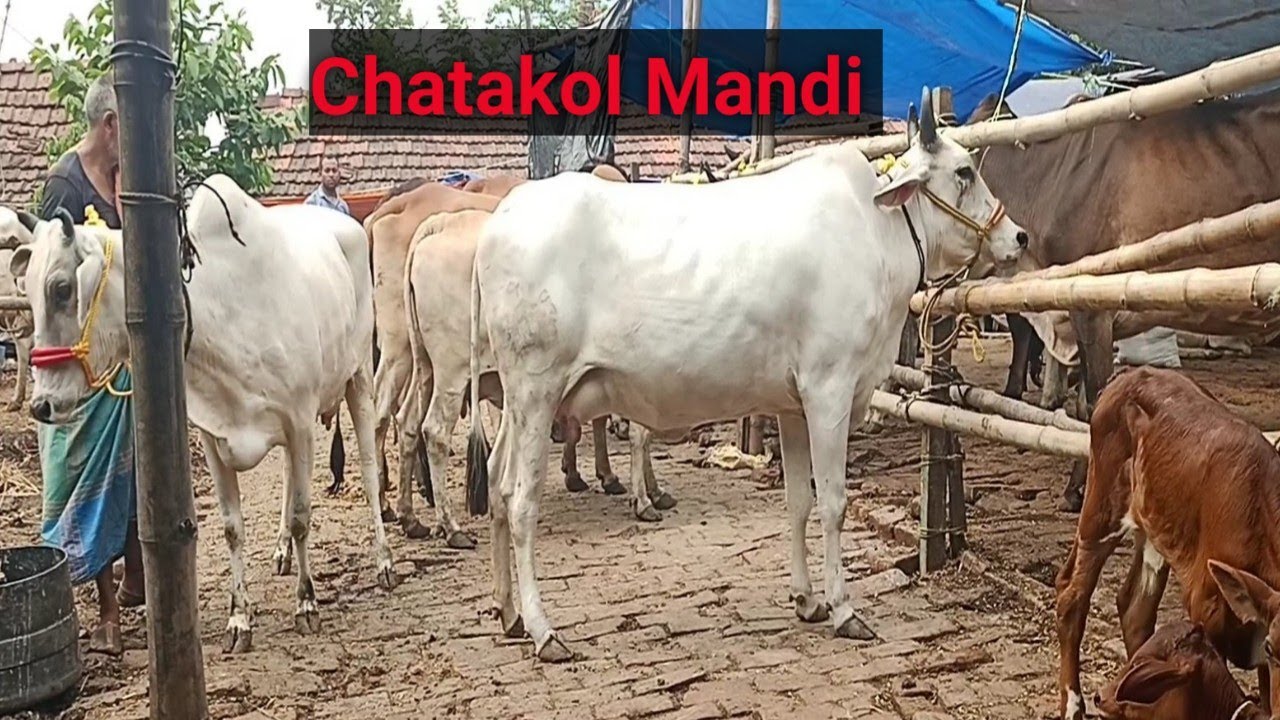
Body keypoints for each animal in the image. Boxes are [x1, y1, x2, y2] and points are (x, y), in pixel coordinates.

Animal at [10, 176, 396, 653]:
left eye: (62, 289)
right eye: (27, 293)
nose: (40, 404)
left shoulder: (300, 421)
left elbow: (303, 516)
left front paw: (306, 603)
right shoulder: (215, 436)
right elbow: (233, 527)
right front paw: (239, 619)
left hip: (358, 377)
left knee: (367, 470)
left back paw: (383, 560)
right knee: (290, 477)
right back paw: (282, 551)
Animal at [464, 88, 1027, 662]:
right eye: (963, 171)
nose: (1018, 236)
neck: (876, 230)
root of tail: (496, 225)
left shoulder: (792, 405)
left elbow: (799, 501)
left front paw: (807, 600)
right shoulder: (829, 392)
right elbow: (833, 503)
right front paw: (843, 608)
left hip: (516, 401)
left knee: (496, 484)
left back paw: (508, 613)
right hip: (538, 390)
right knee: (521, 501)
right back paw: (542, 628)